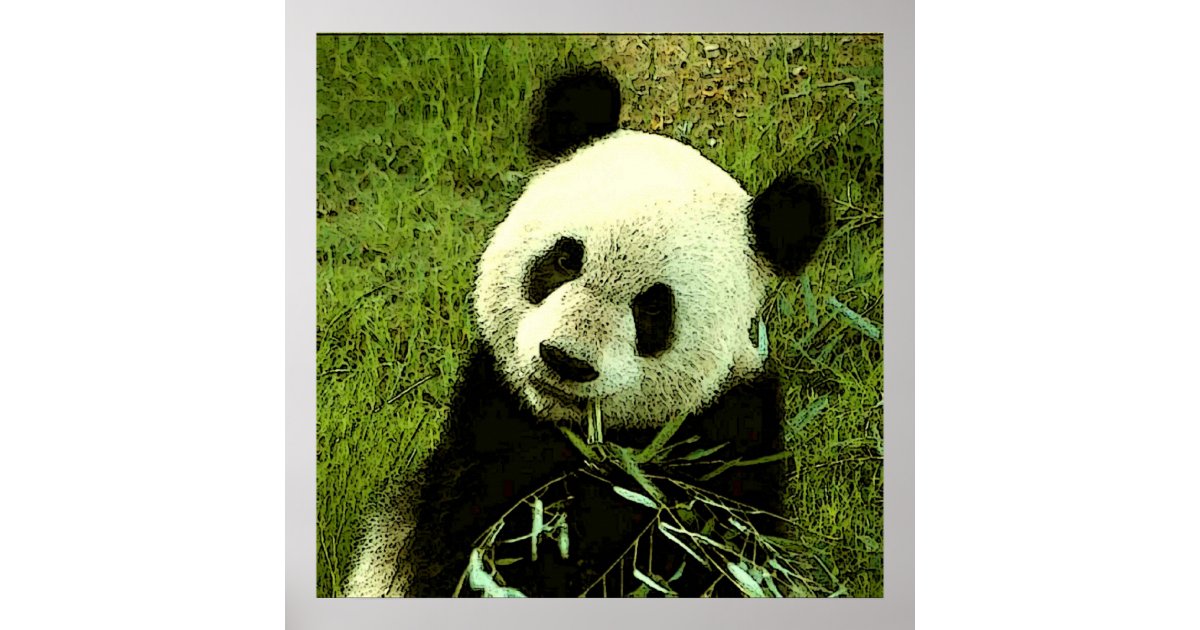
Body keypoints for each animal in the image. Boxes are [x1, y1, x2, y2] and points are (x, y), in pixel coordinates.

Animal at [345, 67, 827, 598]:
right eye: (564, 259)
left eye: (653, 308)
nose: (565, 359)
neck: (590, 445)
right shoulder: (485, 431)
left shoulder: (726, 446)